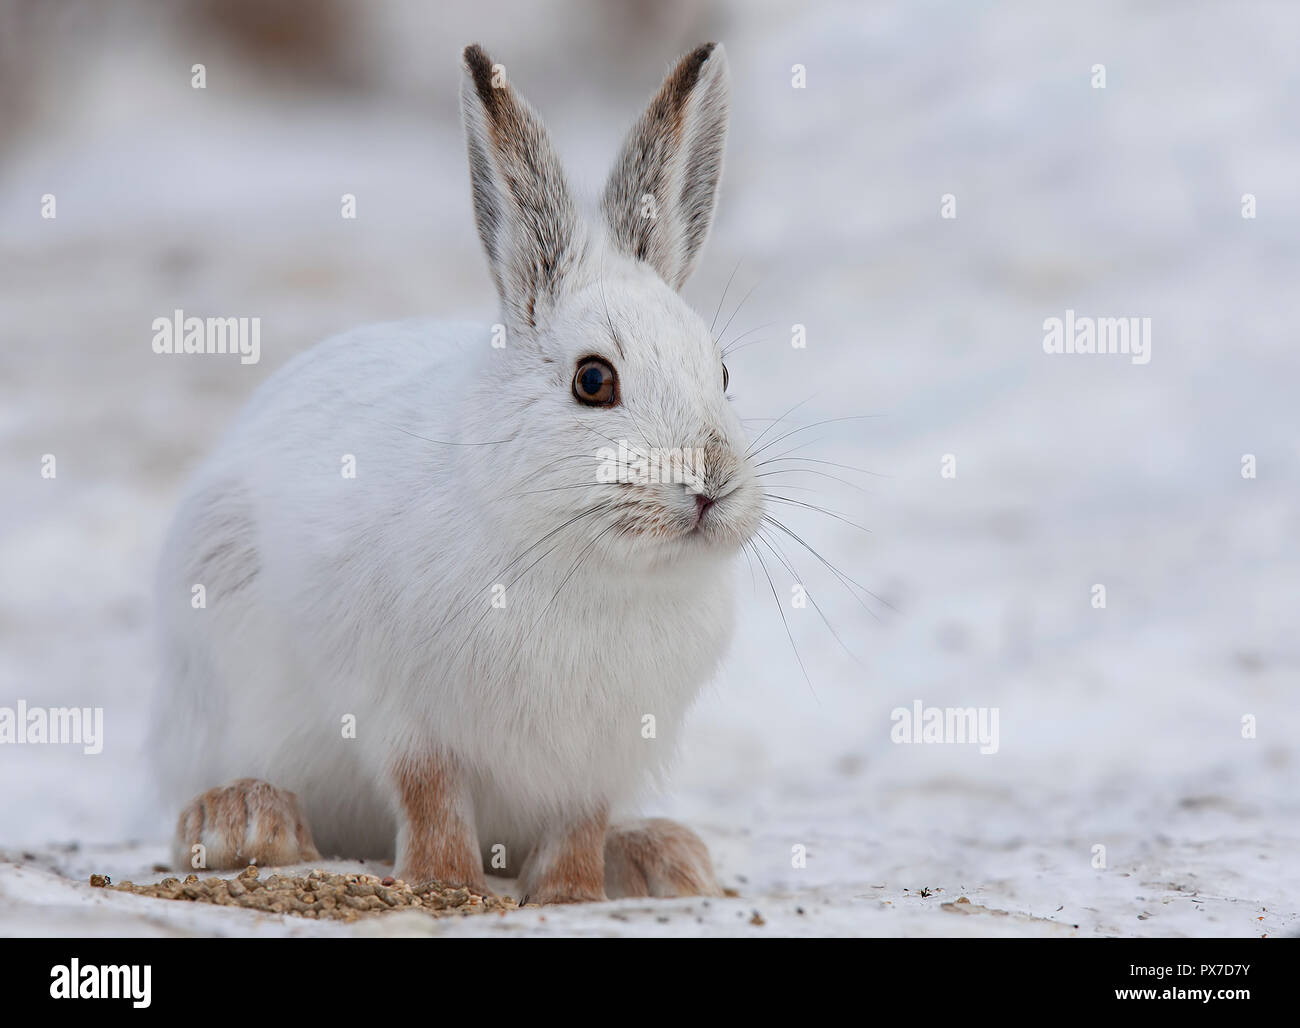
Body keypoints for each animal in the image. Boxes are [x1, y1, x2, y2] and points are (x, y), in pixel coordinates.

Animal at [149, 42, 762, 904]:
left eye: (724, 372)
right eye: (594, 380)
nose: (712, 484)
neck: (584, 559)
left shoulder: (600, 756)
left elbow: (579, 823)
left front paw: (572, 895)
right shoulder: (402, 715)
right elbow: (429, 795)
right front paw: (444, 885)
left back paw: (659, 856)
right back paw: (243, 822)